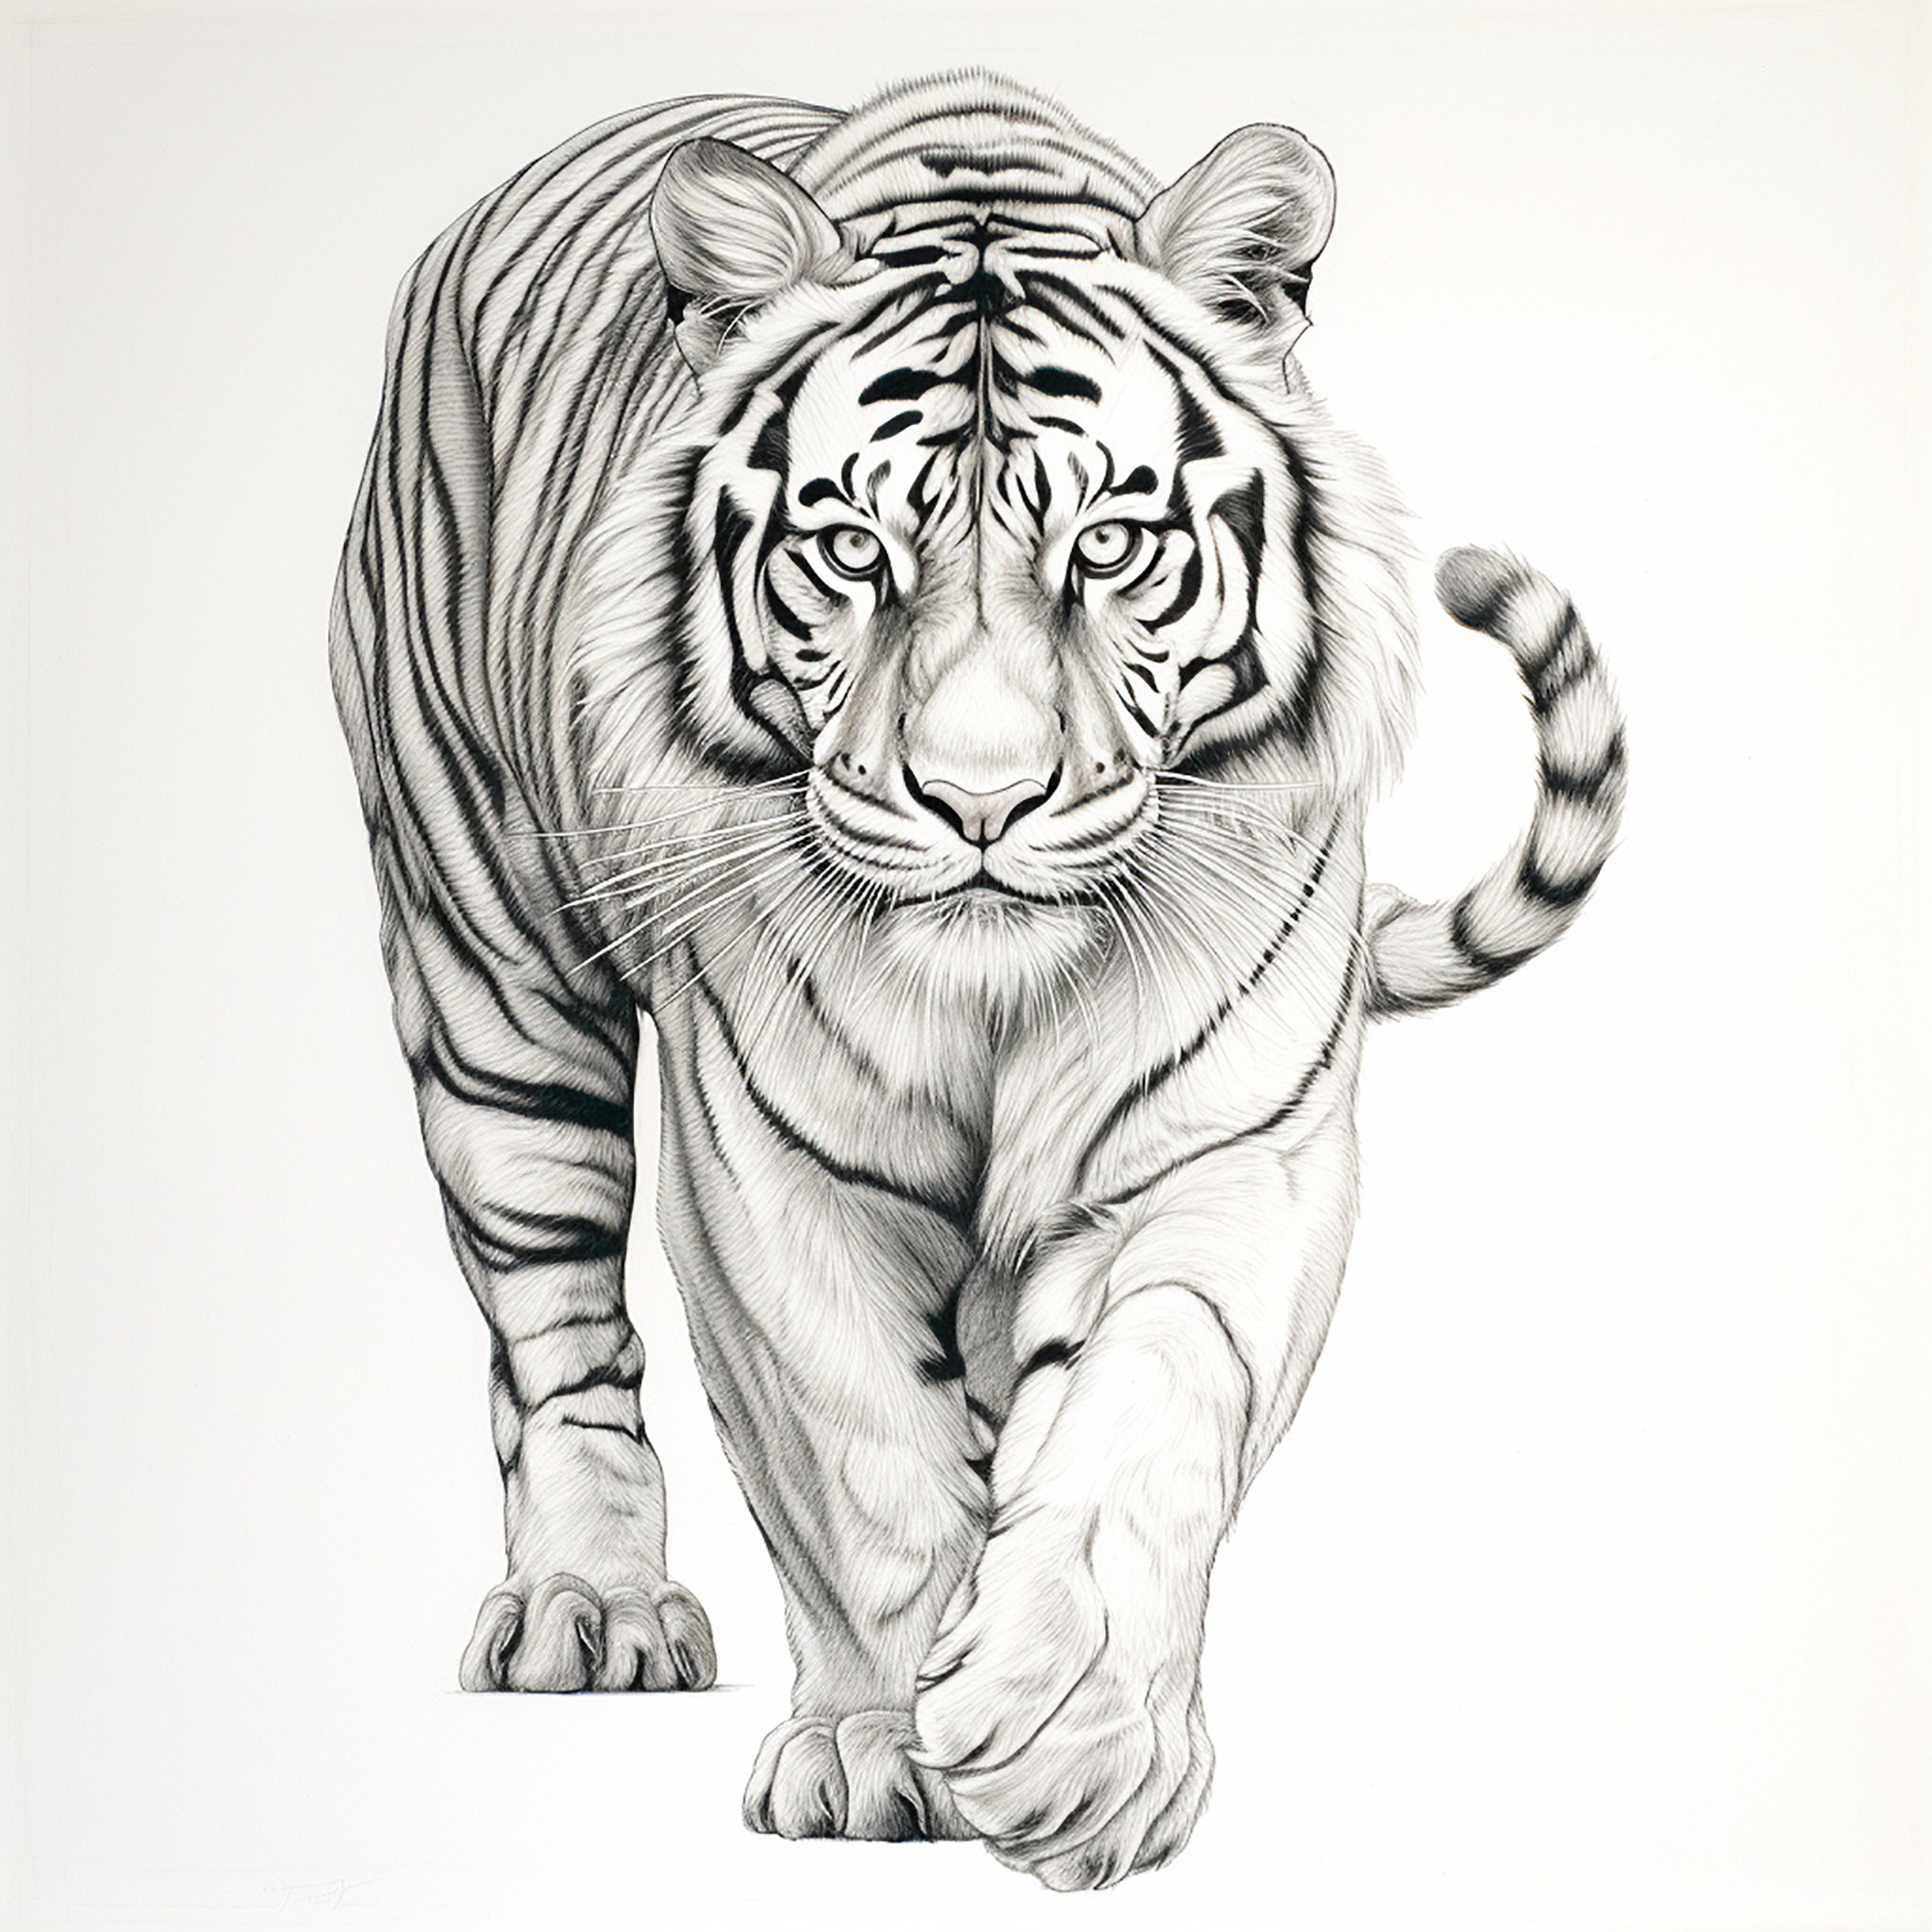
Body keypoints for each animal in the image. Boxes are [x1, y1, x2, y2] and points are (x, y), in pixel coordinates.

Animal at [330, 70, 1625, 1890]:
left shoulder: (1232, 1149)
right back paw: (590, 1605)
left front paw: (1074, 1737)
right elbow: (859, 1453)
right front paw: (882, 1748)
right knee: (556, 1323)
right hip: (487, 979)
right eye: (850, 548)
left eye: (1112, 543)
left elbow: (1150, 1409)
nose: (980, 800)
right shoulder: (767, 1168)